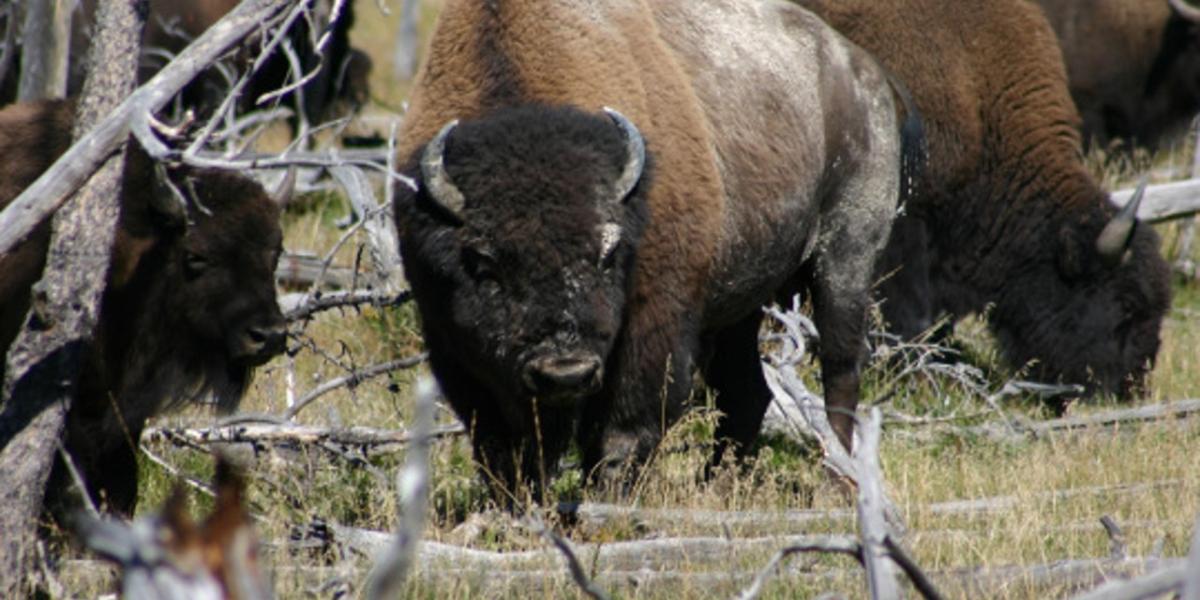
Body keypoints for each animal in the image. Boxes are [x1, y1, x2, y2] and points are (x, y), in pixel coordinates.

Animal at [393, 0, 922, 498]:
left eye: (608, 253)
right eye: (483, 263)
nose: (566, 373)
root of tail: (864, 70)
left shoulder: (654, 324)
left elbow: (625, 428)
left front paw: (606, 505)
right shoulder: (452, 342)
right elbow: (502, 442)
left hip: (846, 258)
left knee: (840, 370)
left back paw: (839, 481)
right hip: (740, 301)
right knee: (746, 390)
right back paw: (716, 485)